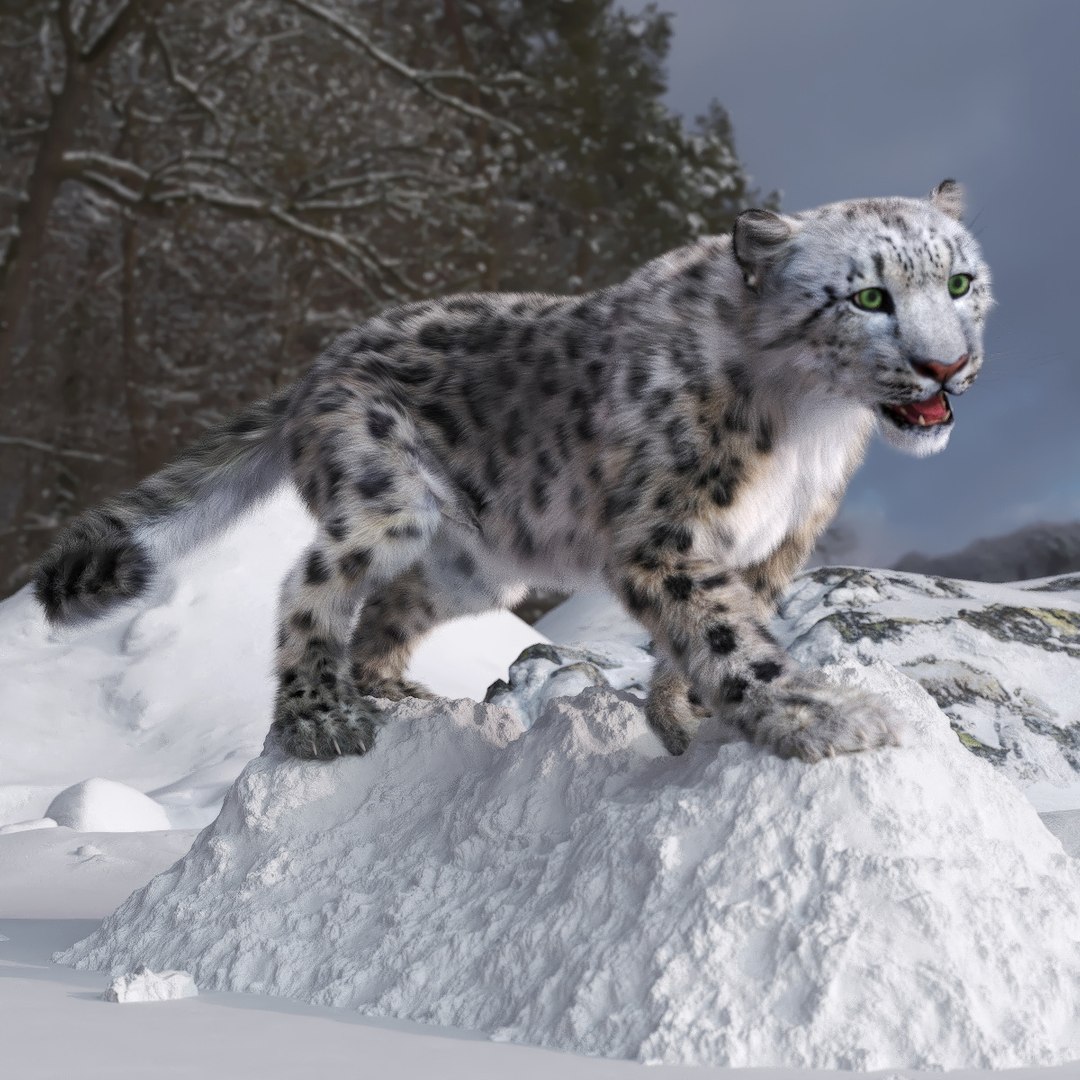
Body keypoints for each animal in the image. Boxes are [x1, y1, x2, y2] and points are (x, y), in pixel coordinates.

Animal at [33, 180, 992, 764]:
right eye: (867, 297)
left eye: (959, 282)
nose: (945, 366)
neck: (814, 428)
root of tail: (316, 366)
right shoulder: (661, 535)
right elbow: (726, 633)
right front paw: (818, 717)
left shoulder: (773, 545)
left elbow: (718, 626)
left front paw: (681, 713)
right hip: (383, 494)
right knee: (309, 585)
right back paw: (319, 717)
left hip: (471, 568)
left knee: (387, 608)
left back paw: (397, 693)